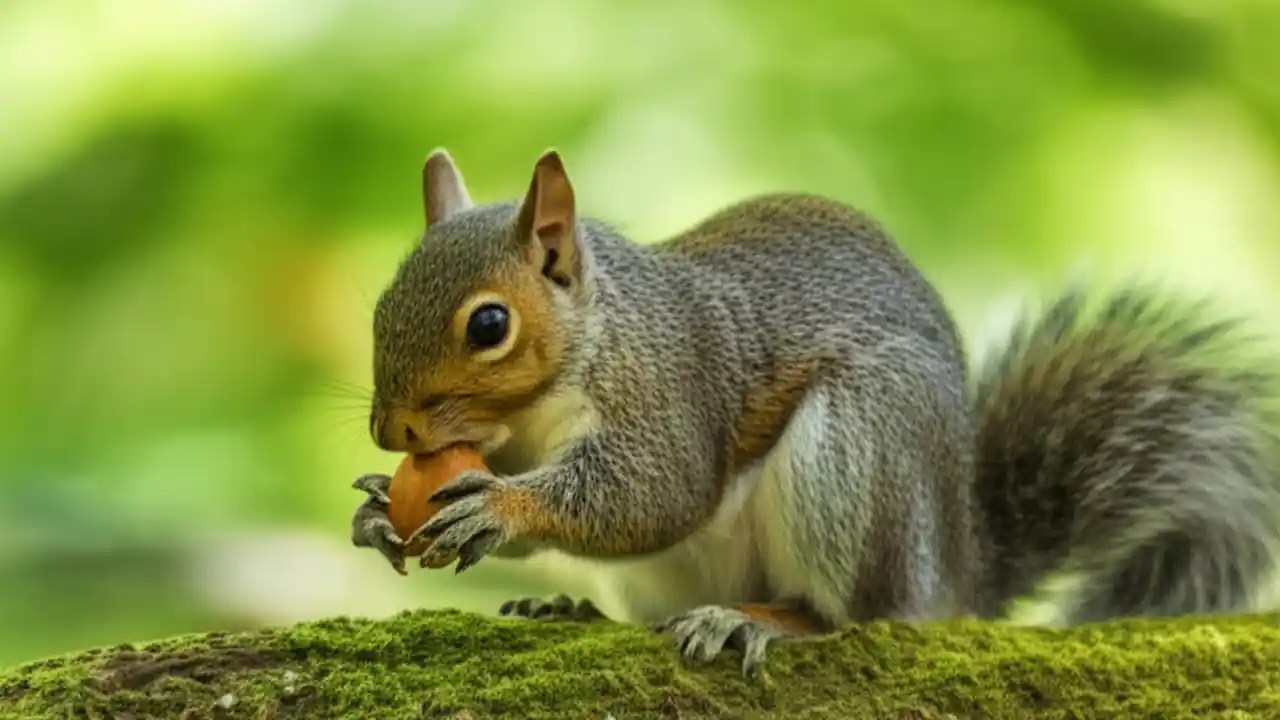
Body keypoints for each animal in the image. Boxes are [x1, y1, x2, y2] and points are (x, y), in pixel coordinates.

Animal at [351, 148, 1280, 675]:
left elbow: (652, 496)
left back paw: (756, 621)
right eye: (382, 300)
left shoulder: (670, 392)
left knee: (857, 615)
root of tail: (955, 573)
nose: (391, 432)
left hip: (858, 452)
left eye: (489, 325)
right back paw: (574, 609)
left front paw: (501, 509)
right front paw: (378, 510)